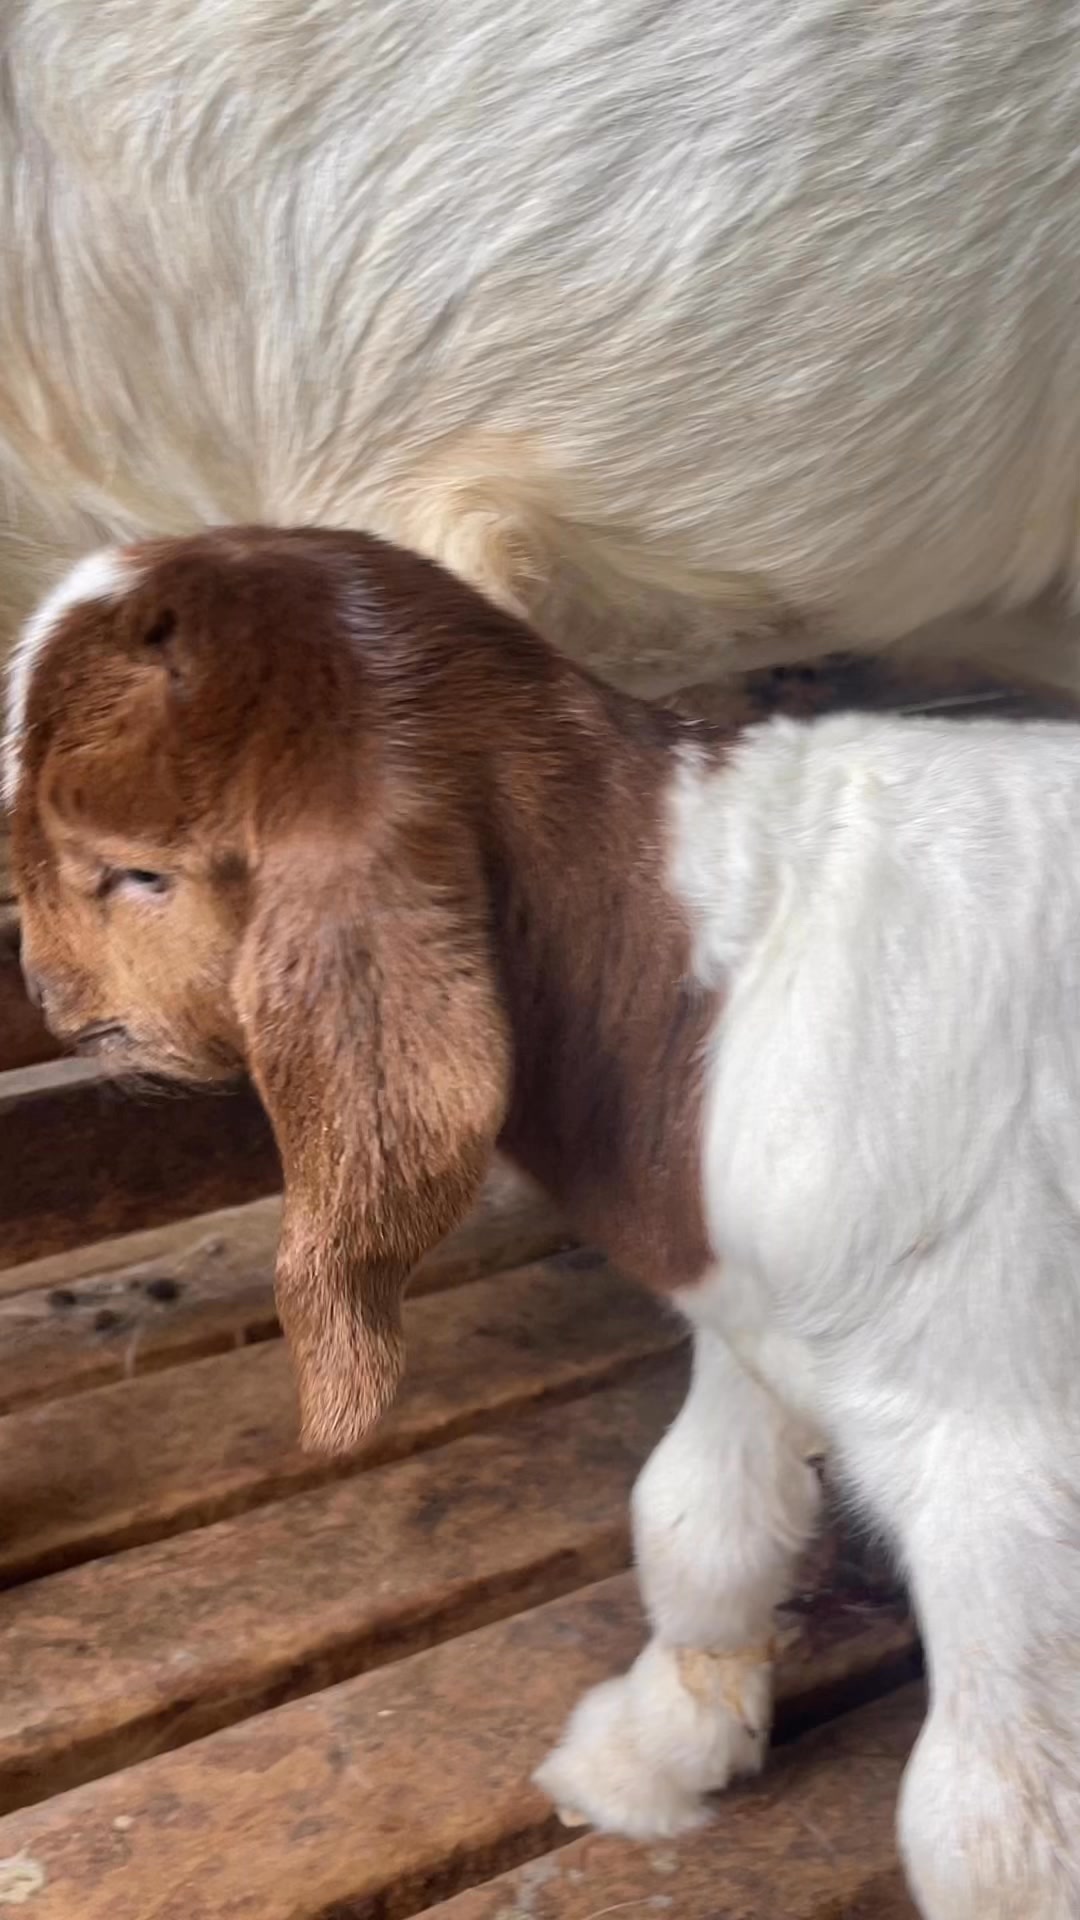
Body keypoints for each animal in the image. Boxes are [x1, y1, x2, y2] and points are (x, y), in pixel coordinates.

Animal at [7, 527, 1080, 1917]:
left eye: (137, 874)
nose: (47, 995)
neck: (697, 980)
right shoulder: (751, 1318)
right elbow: (696, 1522)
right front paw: (652, 1753)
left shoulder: (1005, 1461)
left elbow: (994, 1822)